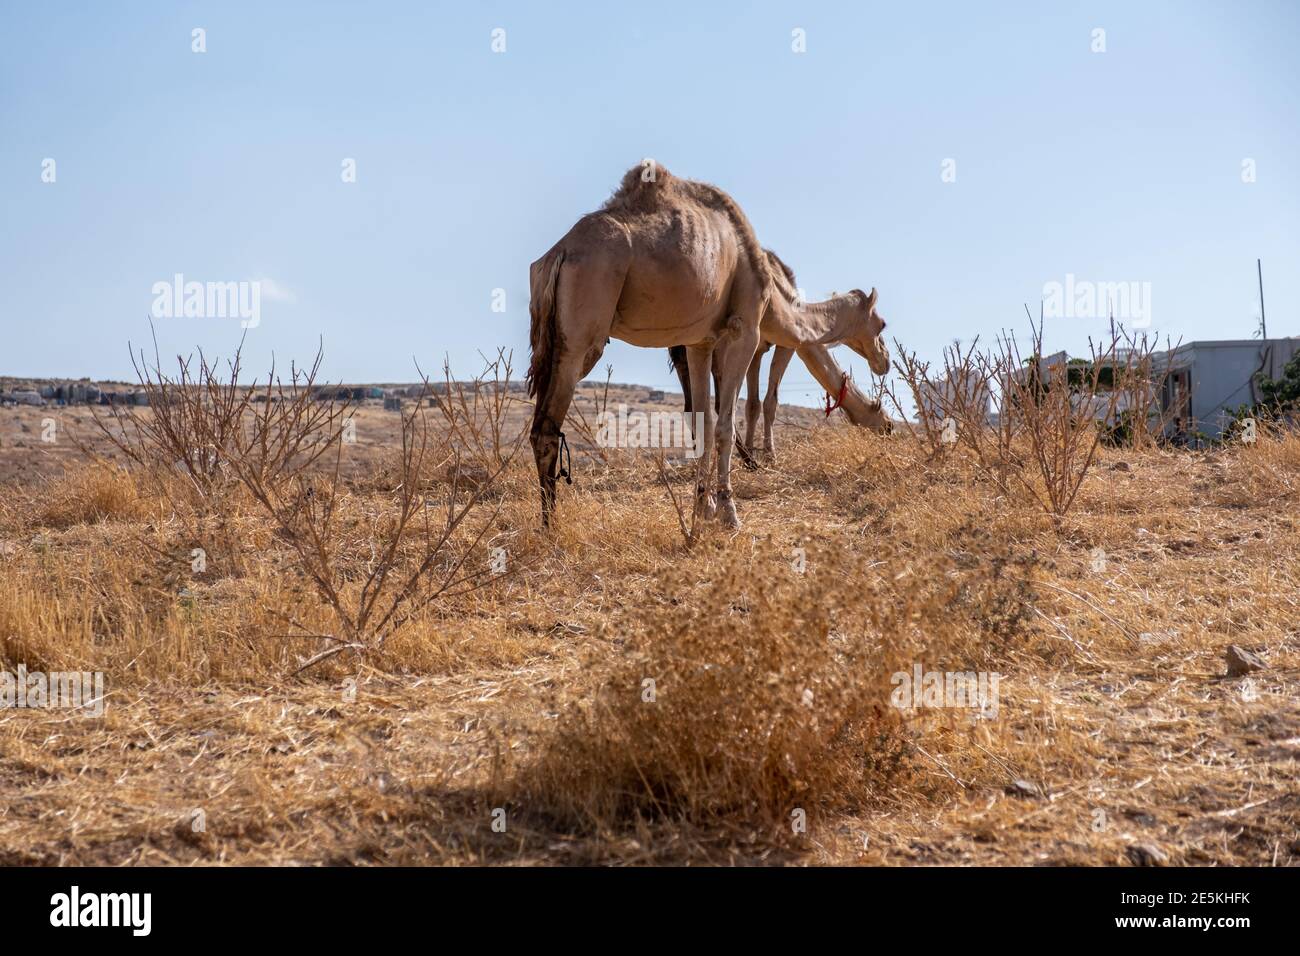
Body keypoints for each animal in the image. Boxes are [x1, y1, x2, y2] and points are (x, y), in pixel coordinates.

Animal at [526, 163, 770, 529]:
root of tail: (560, 253)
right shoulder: (745, 328)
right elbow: (723, 424)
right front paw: (729, 513)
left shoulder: (699, 341)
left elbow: (703, 420)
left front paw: (705, 507)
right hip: (583, 336)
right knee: (546, 428)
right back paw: (550, 528)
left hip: (551, 336)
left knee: (539, 424)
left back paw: (547, 523)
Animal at [669, 249, 891, 461]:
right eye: (883, 325)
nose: (885, 361)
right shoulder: (786, 343)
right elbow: (769, 402)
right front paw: (769, 455)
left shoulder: (758, 348)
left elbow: (753, 404)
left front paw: (754, 450)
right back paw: (746, 459)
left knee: (692, 405)